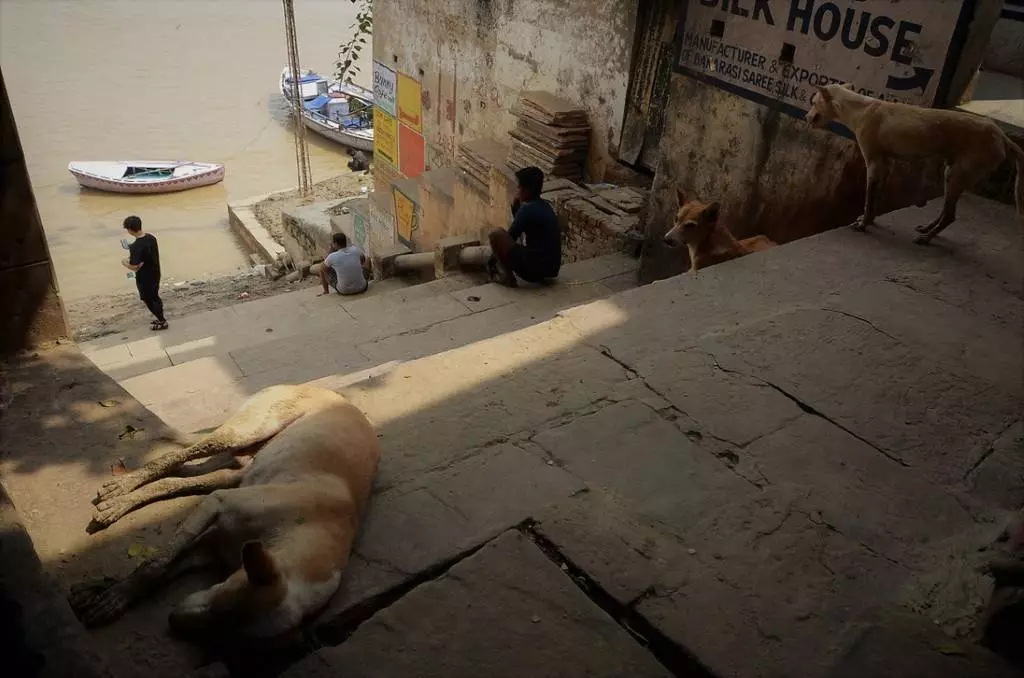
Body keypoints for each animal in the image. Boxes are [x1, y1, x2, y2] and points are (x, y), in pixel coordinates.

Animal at [69, 387, 380, 643]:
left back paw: (120, 504)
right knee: (173, 458)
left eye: (227, 635)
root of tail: (329, 390)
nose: (172, 621)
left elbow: (165, 567)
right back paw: (122, 487)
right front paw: (117, 596)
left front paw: (114, 591)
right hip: (245, 431)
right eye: (219, 601)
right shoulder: (216, 505)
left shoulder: (210, 547)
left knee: (174, 480)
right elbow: (155, 564)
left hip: (236, 471)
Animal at [806, 82, 1024, 245]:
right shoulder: (886, 163)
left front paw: (863, 224)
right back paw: (927, 229)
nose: (807, 117)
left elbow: (869, 197)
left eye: (814, 101)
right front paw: (870, 219)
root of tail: (1002, 136)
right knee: (947, 212)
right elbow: (877, 197)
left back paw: (926, 238)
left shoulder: (874, 162)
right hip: (953, 174)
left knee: (950, 215)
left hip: (956, 175)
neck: (861, 109)